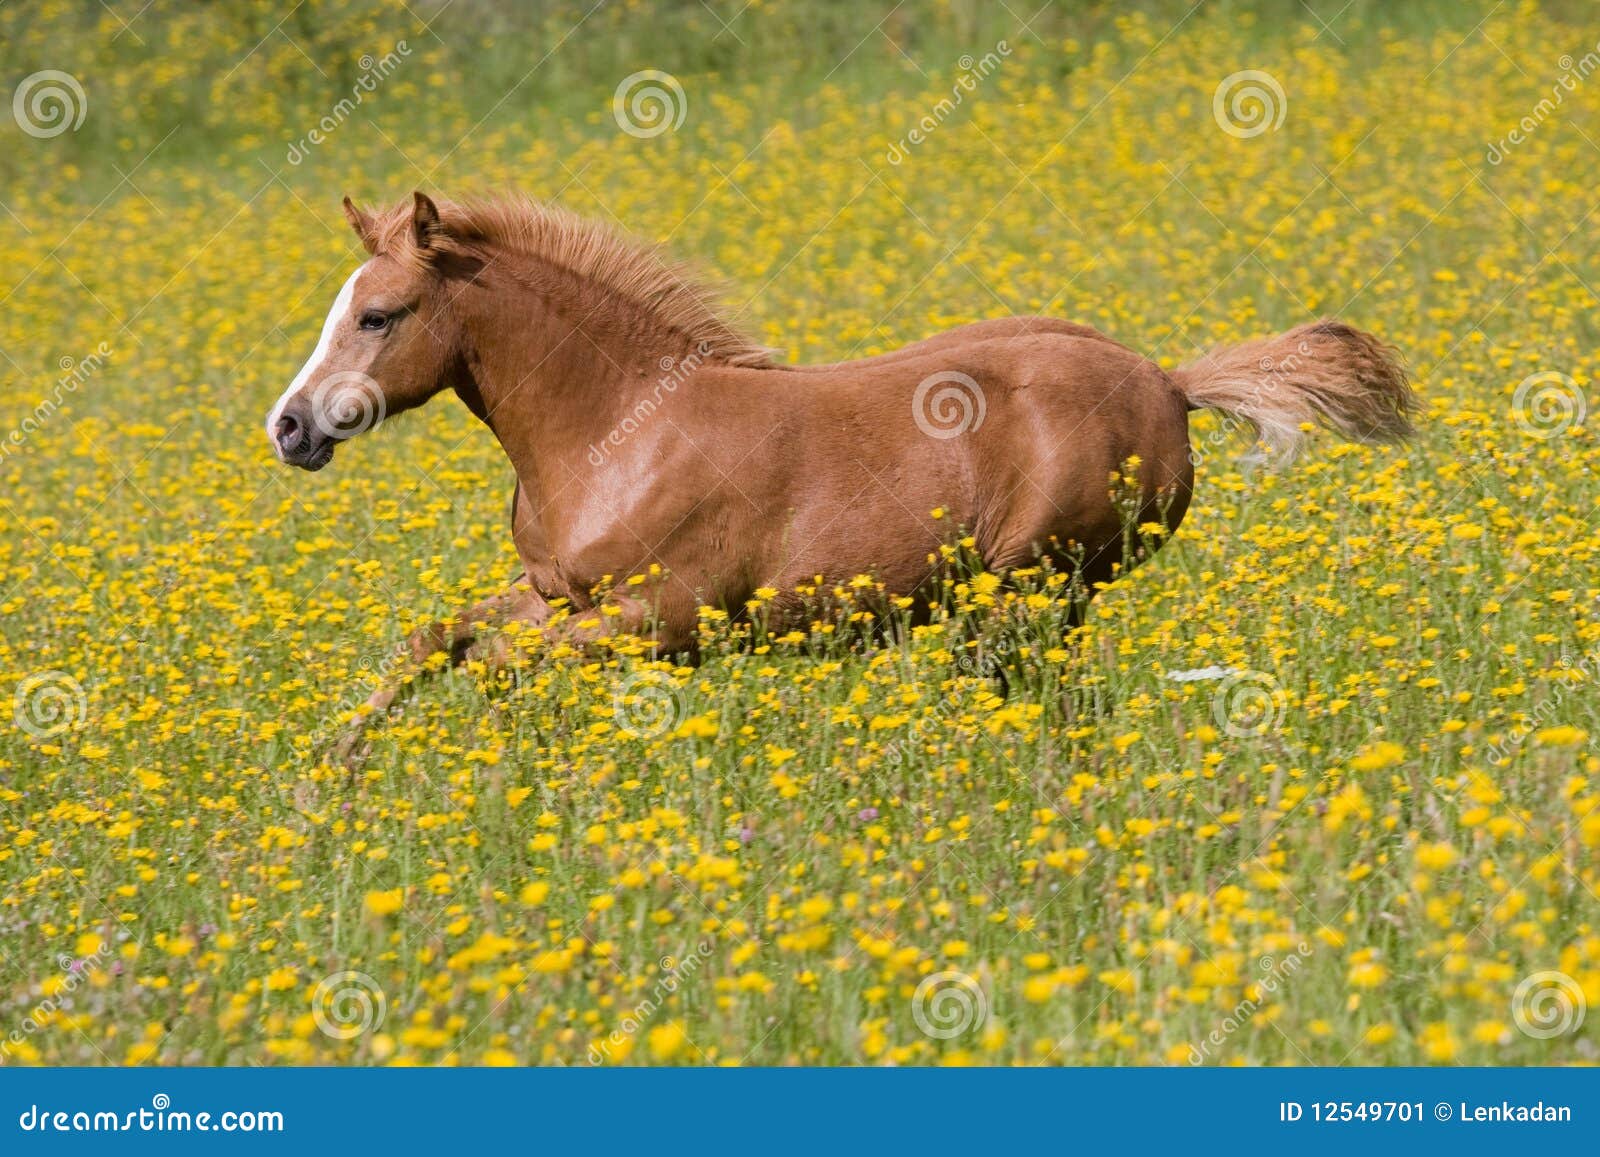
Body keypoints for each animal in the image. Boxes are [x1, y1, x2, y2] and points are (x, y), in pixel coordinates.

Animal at [265, 192, 1415, 753]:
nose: (290, 427)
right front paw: (329, 771)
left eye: (380, 315)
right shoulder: (558, 593)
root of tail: (1169, 381)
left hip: (1031, 587)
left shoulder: (662, 620)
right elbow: (438, 639)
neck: (618, 428)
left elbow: (501, 667)